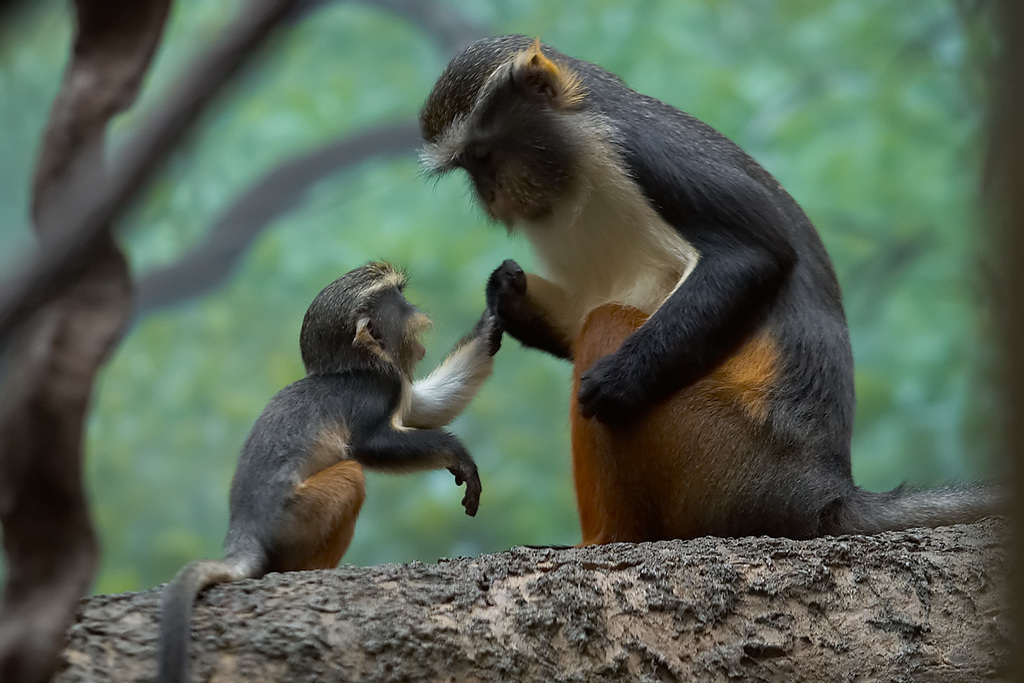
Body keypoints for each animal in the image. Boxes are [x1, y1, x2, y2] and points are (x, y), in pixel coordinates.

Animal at [157, 261, 502, 683]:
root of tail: (244, 533)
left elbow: (423, 406)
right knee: (352, 473)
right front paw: (459, 454)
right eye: (398, 299)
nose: (417, 310)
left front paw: (497, 308)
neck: (354, 366)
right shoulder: (378, 388)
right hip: (295, 518)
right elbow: (370, 446)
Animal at [428, 35, 999, 543]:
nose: (491, 195)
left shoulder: (642, 152)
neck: (577, 152)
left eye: (483, 156)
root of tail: (822, 492)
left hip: (716, 455)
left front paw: (617, 379)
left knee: (606, 324)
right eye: (469, 166)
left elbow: (753, 255)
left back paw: (608, 538)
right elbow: (578, 311)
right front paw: (506, 292)